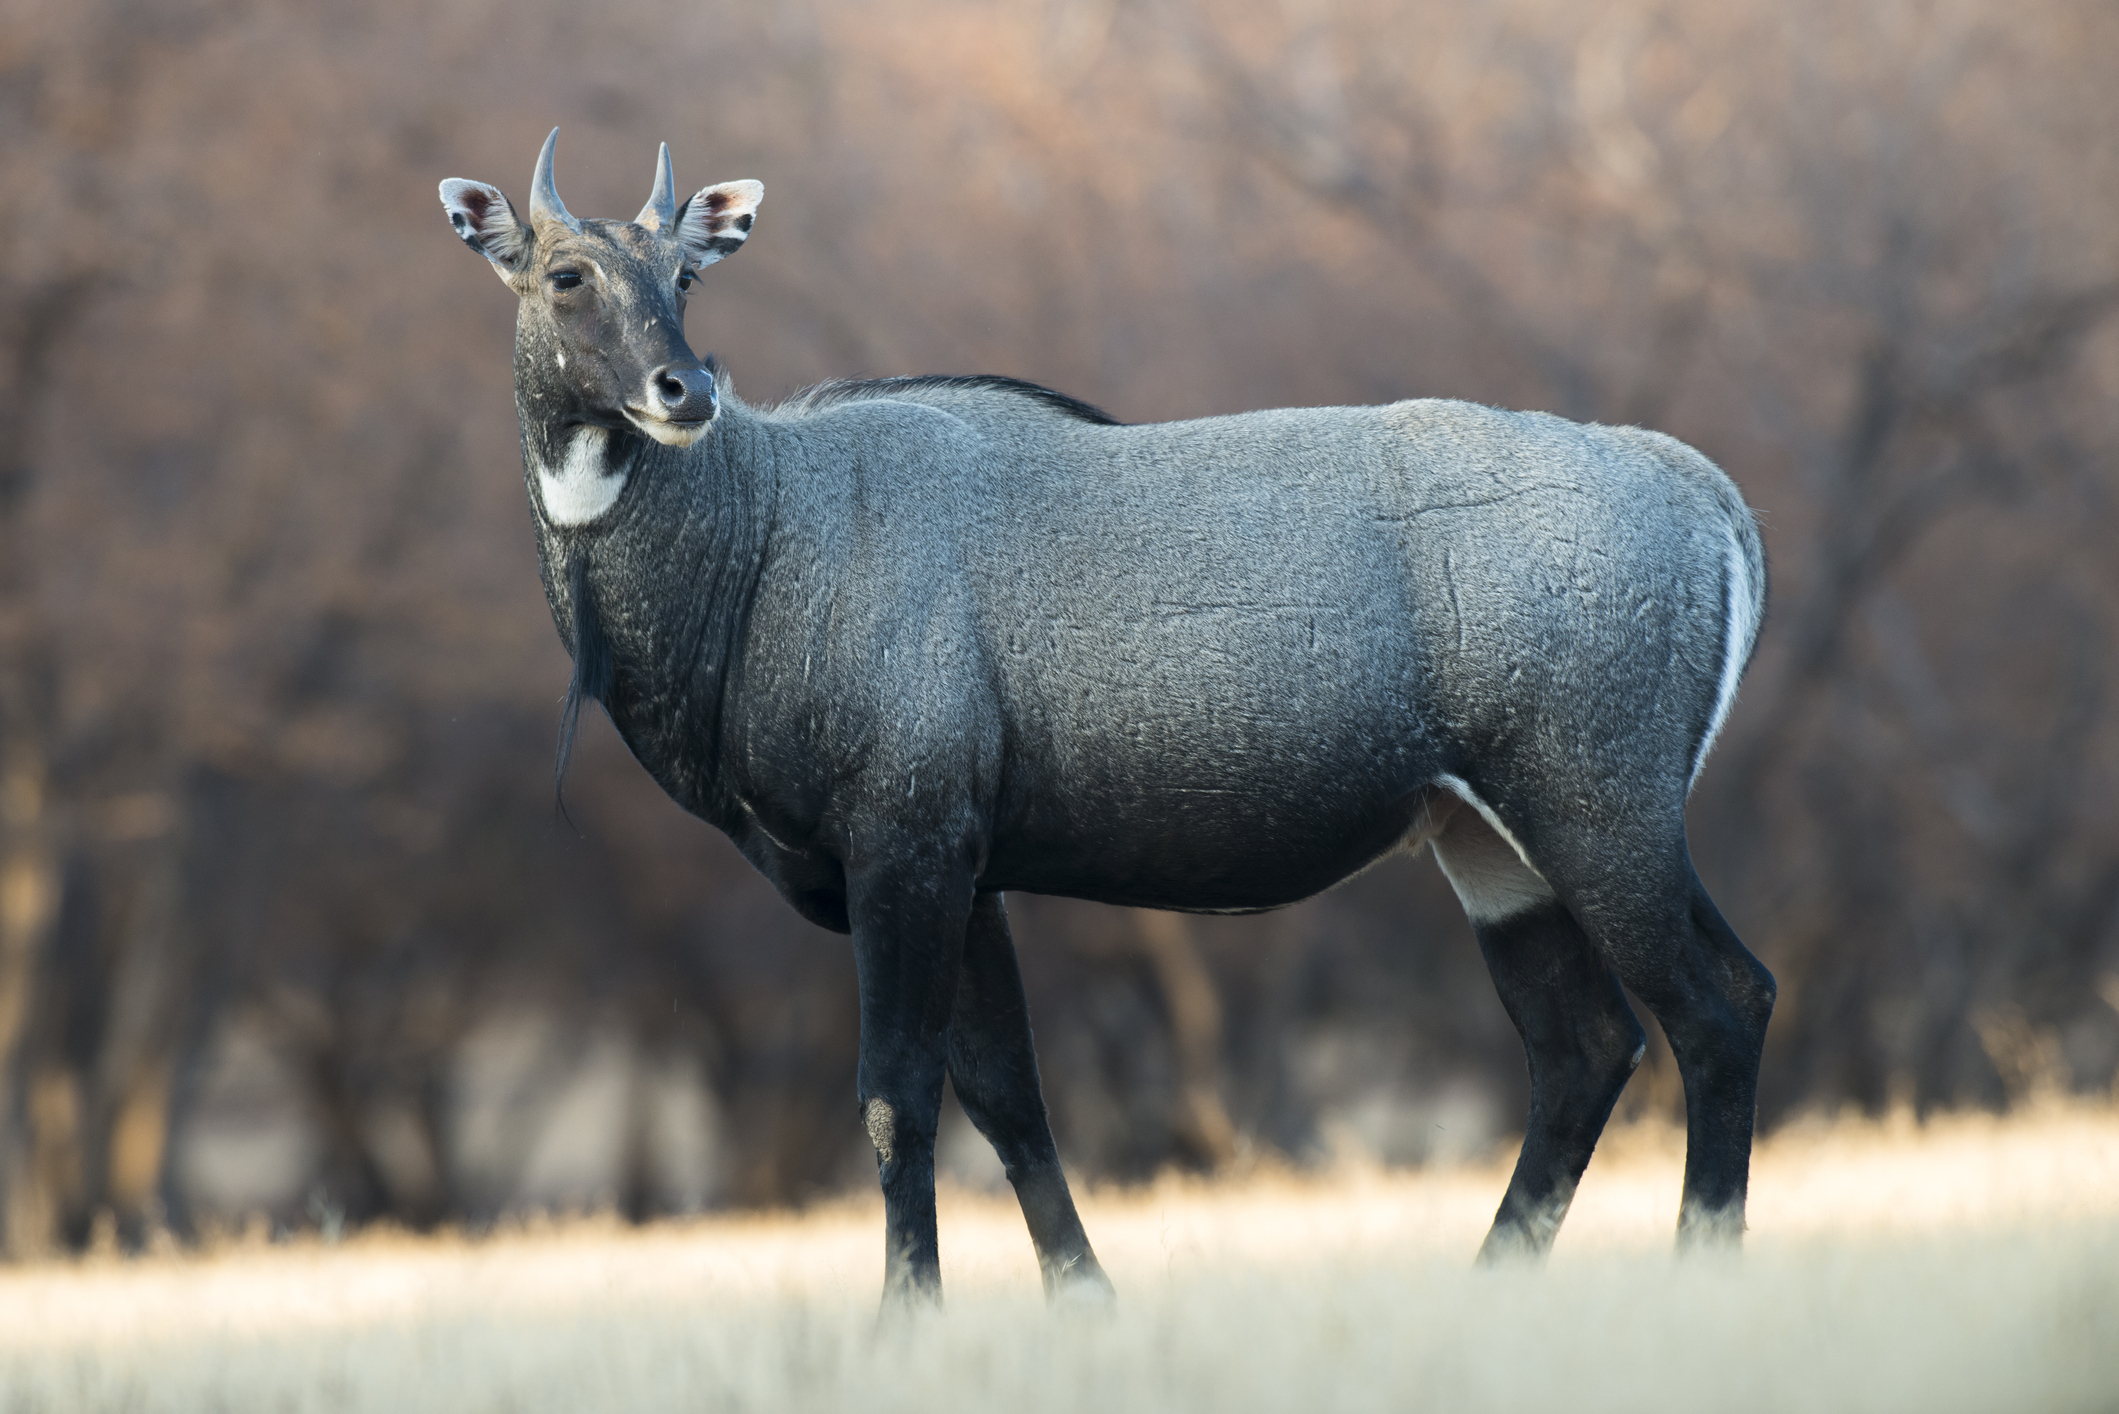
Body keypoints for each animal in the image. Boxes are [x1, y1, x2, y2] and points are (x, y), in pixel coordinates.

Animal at [439, 131, 1773, 1309]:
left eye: (687, 273)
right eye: (566, 274)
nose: (684, 390)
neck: (761, 531)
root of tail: (1701, 490)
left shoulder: (906, 846)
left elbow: (897, 1094)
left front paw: (905, 1320)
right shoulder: (965, 871)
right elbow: (1005, 1098)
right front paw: (1084, 1301)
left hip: (1598, 809)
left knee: (1717, 1003)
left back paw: (1696, 1271)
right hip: (1492, 843)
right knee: (1585, 1043)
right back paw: (1489, 1284)